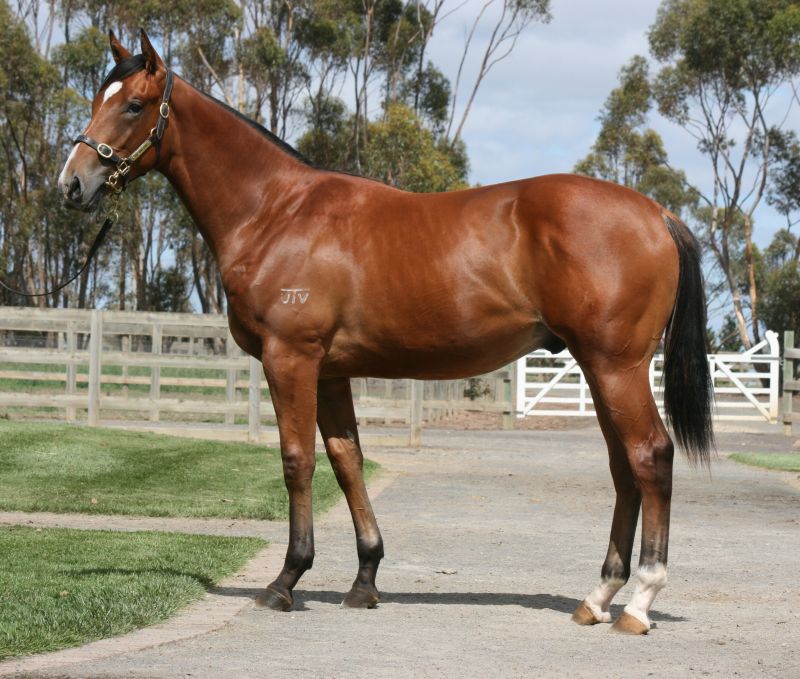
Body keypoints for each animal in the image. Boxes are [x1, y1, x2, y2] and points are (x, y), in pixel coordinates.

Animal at [58, 30, 713, 635]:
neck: (276, 212)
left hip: (616, 366)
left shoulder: (290, 359)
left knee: (650, 456)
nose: (72, 184)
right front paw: (365, 579)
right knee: (623, 467)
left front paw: (286, 580)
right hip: (600, 369)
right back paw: (598, 597)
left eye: (134, 105)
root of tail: (658, 214)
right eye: (97, 98)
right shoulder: (331, 372)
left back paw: (639, 602)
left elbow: (297, 461)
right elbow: (347, 459)